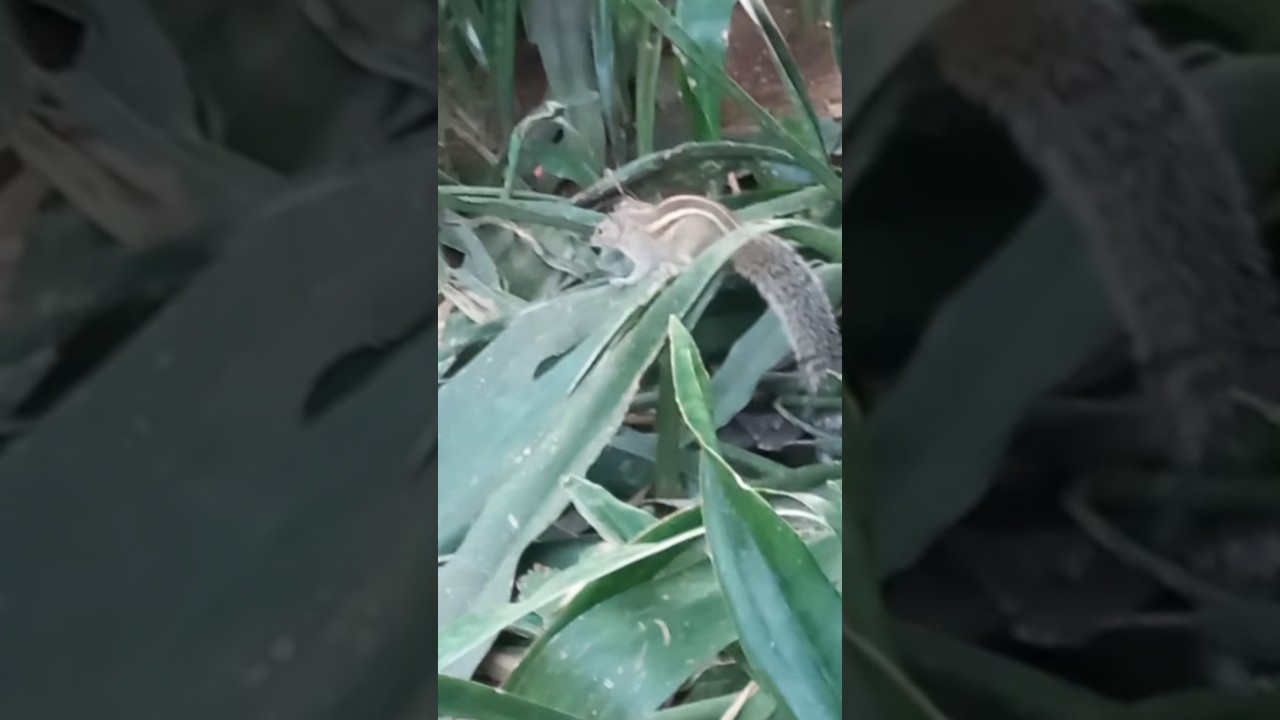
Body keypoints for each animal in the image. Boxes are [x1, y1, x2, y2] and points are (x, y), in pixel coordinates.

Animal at [590, 194, 842, 391]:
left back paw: (670, 269)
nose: (591, 241)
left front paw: (623, 281)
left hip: (690, 244)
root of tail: (735, 239)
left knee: (687, 265)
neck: (636, 222)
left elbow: (639, 273)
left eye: (600, 230)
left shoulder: (644, 256)